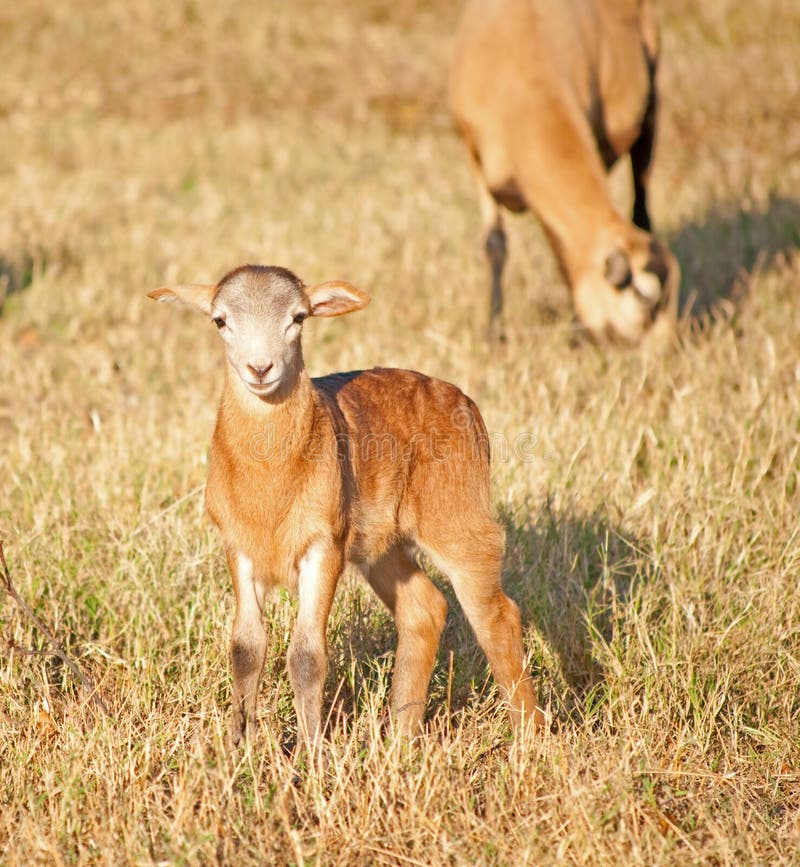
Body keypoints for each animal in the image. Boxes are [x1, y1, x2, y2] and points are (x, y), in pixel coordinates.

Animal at [148, 264, 545, 750]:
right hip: (382, 544)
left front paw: (312, 752)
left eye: (298, 317)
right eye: (220, 320)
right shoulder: (238, 546)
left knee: (497, 615)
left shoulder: (324, 544)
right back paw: (399, 739)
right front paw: (239, 748)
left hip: (458, 516)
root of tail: (468, 405)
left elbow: (306, 655)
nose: (260, 368)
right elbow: (245, 648)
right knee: (424, 608)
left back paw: (531, 738)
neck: (270, 489)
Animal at [449, 0, 679, 343]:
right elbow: (495, 245)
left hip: (650, 107)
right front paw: (494, 334)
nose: (669, 350)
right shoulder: (475, 155)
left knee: (641, 209)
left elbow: (565, 251)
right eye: (643, 298)